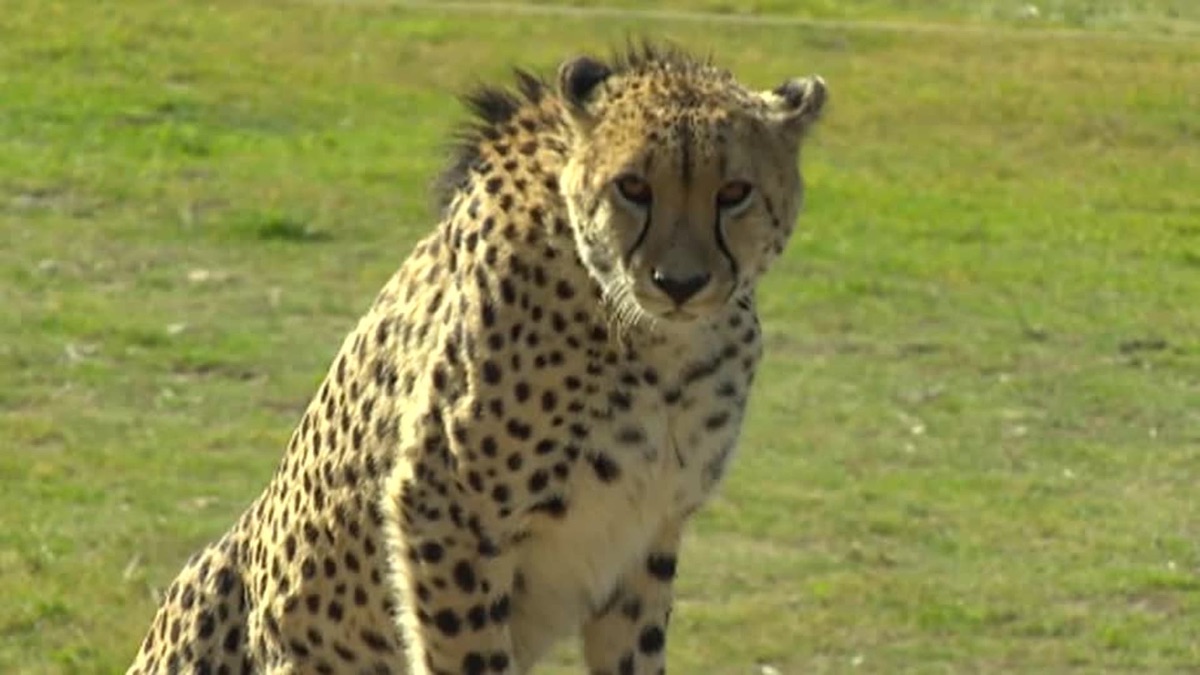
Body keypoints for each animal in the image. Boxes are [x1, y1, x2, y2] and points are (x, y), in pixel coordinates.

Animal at [126, 42, 827, 675]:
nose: (680, 282)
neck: (656, 343)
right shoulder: (441, 509)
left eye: (734, 192)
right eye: (632, 187)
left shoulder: (646, 532)